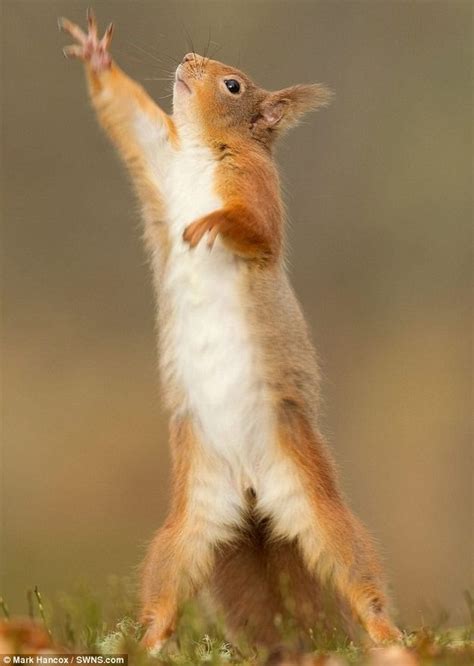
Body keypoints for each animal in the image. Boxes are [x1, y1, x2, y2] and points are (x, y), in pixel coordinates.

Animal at [59, 9, 401, 652]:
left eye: (234, 85)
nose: (190, 59)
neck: (202, 154)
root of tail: (249, 494)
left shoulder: (257, 188)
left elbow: (256, 226)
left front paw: (211, 224)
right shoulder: (159, 160)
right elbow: (127, 118)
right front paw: (95, 56)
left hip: (314, 499)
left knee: (353, 566)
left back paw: (386, 633)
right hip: (186, 528)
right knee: (166, 585)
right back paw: (150, 641)